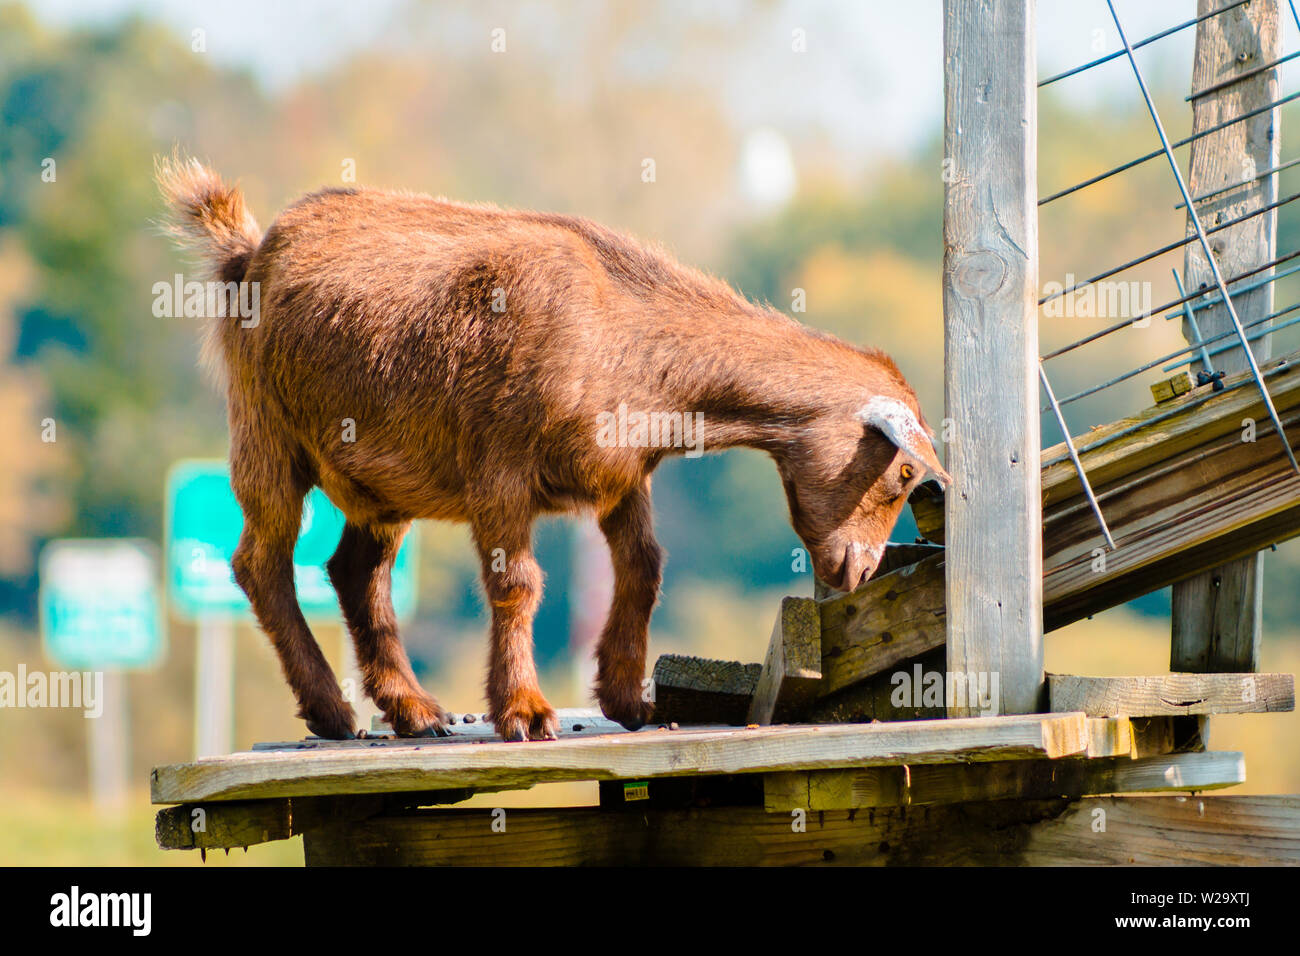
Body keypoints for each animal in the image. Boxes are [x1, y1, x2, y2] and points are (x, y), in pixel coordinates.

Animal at [158, 157, 950, 742]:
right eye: (903, 470)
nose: (857, 570)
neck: (620, 330)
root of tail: (247, 253)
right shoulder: (500, 470)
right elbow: (519, 584)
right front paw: (525, 712)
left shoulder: (623, 476)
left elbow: (643, 568)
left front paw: (628, 699)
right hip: (266, 434)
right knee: (261, 562)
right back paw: (332, 711)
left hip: (379, 479)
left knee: (357, 572)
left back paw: (416, 712)